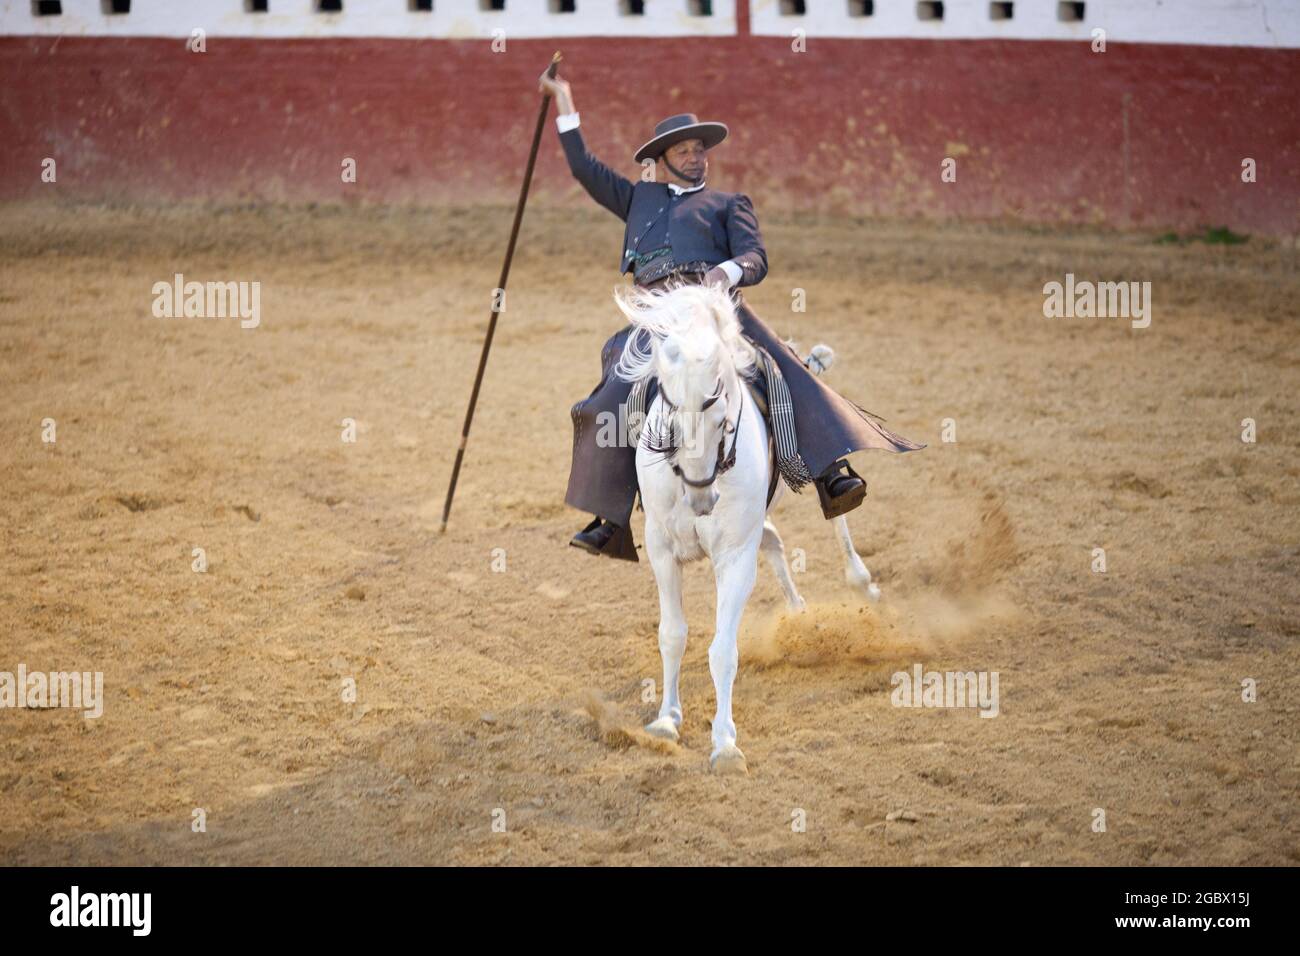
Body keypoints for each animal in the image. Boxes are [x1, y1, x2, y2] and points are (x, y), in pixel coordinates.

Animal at [612, 281, 881, 775]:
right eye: (671, 411)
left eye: (719, 409)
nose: (701, 496)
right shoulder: (662, 552)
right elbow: (672, 635)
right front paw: (666, 720)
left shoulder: (734, 557)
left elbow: (722, 650)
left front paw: (725, 744)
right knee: (774, 543)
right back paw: (799, 615)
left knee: (838, 523)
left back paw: (863, 585)